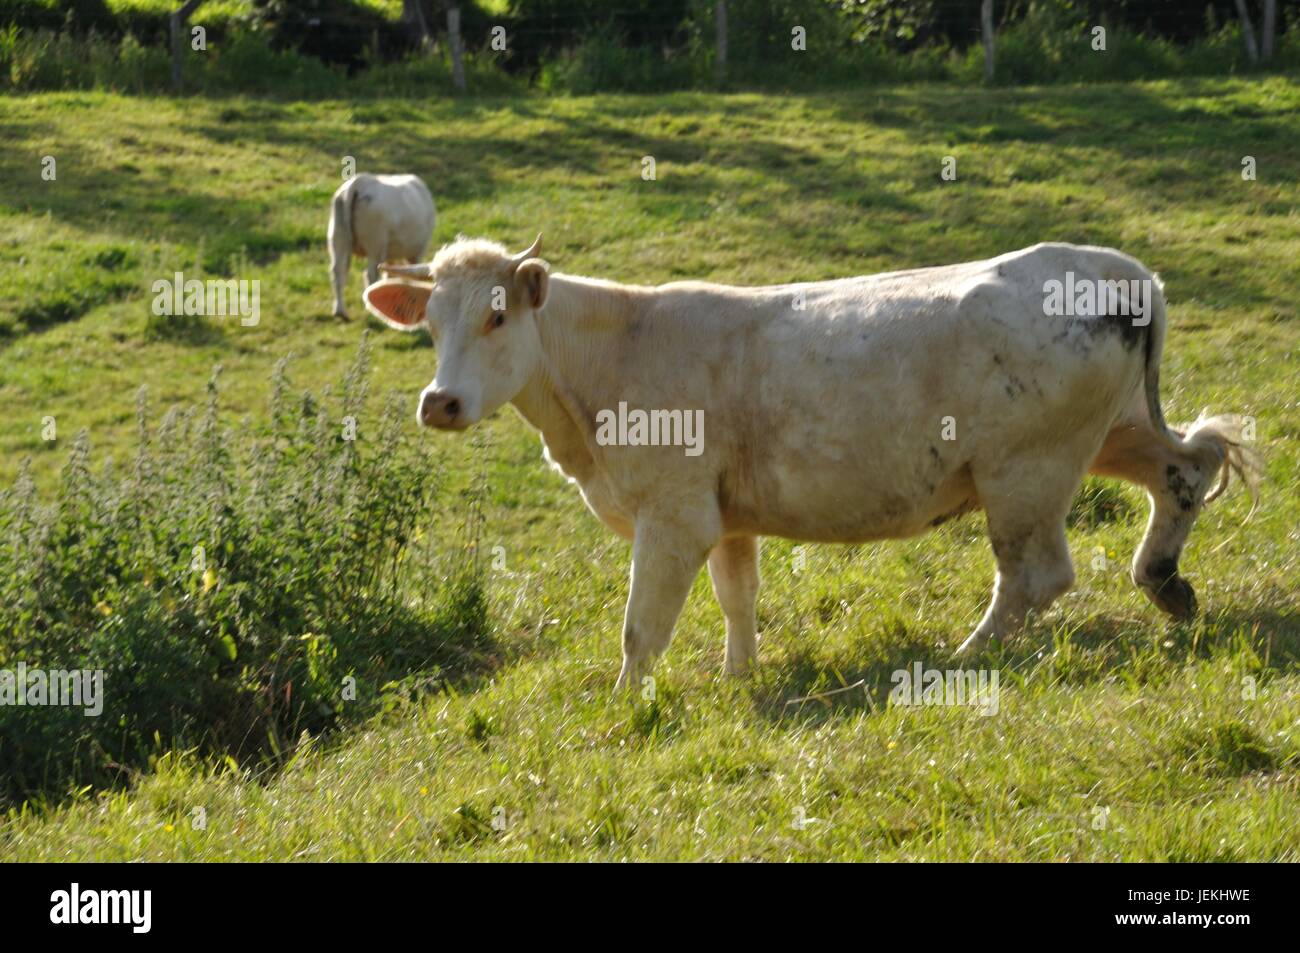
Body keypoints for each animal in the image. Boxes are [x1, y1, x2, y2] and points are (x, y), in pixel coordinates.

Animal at [328, 173, 436, 319]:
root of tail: (360, 182)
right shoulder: (418, 252)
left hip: (338, 238)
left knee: (338, 272)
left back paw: (340, 310)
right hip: (375, 244)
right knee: (370, 274)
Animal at [364, 237, 1259, 689]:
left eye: (497, 315)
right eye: (429, 322)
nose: (440, 402)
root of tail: (1117, 267)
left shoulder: (673, 513)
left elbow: (641, 629)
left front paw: (628, 707)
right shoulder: (724, 516)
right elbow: (737, 598)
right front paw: (738, 678)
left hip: (1025, 470)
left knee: (1036, 575)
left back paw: (965, 656)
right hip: (1110, 432)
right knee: (1188, 462)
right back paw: (1164, 582)